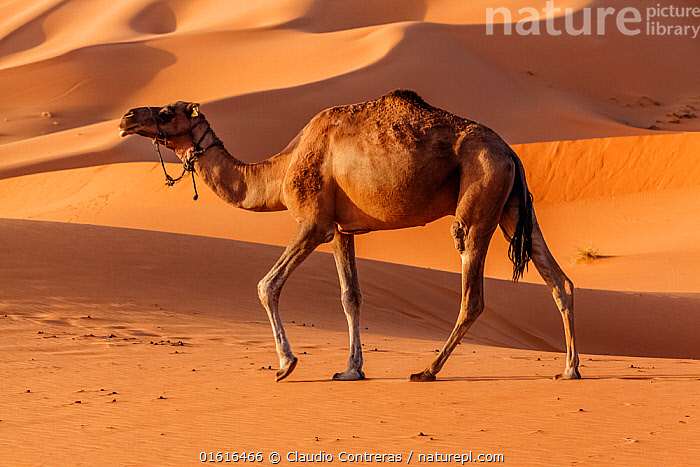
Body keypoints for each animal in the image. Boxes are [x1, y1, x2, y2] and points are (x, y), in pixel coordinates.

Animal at [119, 90, 580, 382]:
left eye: (166, 112)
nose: (126, 118)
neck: (280, 171)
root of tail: (512, 151)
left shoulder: (312, 223)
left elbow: (267, 285)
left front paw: (286, 365)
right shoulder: (342, 230)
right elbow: (350, 296)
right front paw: (351, 369)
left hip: (480, 195)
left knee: (472, 293)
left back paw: (427, 371)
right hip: (511, 205)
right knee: (559, 280)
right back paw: (570, 368)